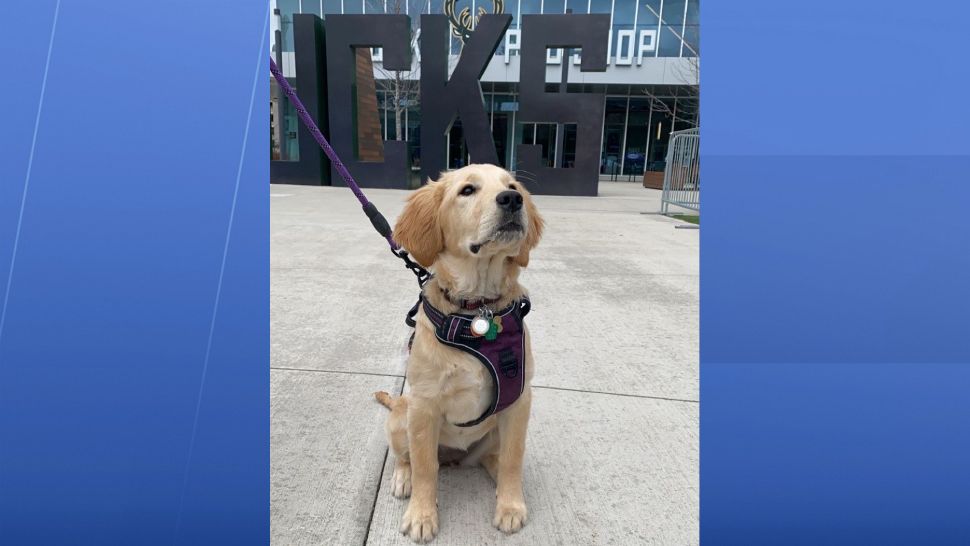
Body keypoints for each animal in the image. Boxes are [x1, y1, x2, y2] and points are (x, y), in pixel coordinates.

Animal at [374, 162, 544, 540]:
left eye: (513, 187)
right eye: (467, 190)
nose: (512, 200)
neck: (477, 311)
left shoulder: (518, 400)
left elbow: (514, 458)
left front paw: (510, 505)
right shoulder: (424, 408)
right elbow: (425, 467)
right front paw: (422, 515)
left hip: (493, 430)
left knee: (495, 458)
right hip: (401, 418)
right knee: (408, 458)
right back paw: (403, 478)